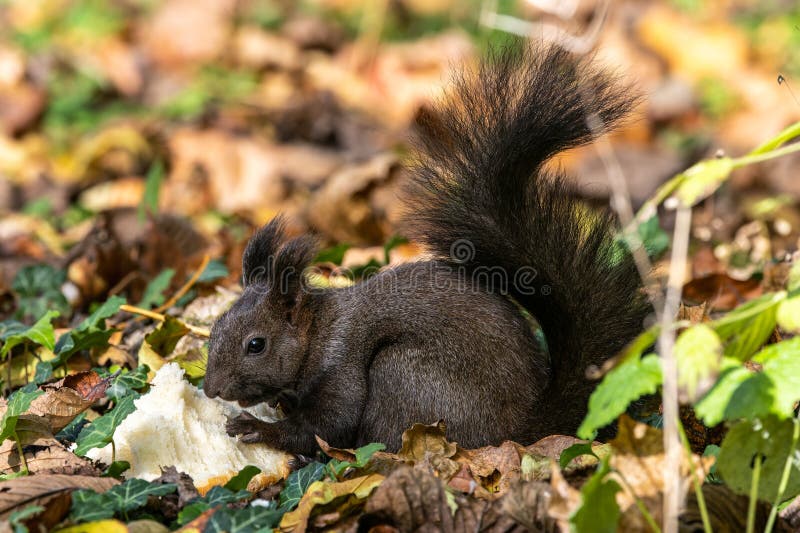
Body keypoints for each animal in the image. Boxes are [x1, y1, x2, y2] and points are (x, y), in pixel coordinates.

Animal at [203, 44, 651, 455]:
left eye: (256, 345)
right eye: (216, 327)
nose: (210, 389)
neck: (317, 335)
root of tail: (519, 428)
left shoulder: (341, 368)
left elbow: (327, 423)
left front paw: (260, 429)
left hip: (402, 373)